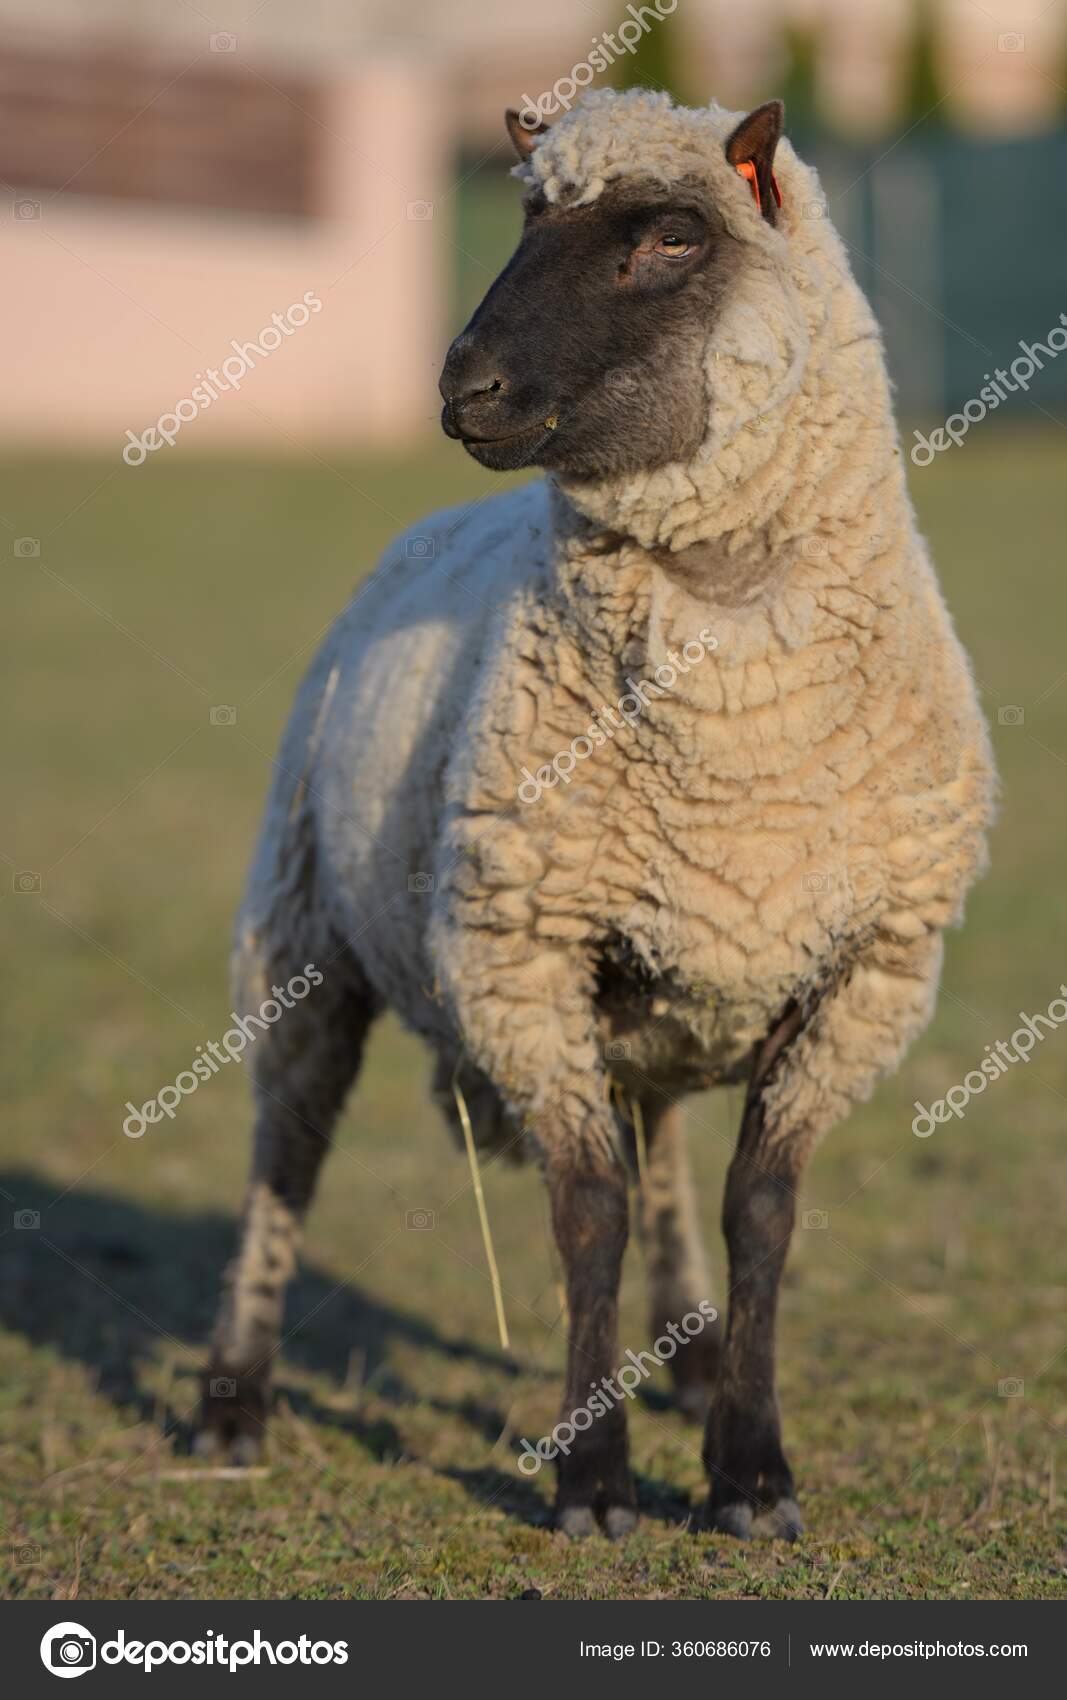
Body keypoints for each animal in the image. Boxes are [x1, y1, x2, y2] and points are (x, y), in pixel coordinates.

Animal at [197, 89, 995, 1541]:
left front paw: (746, 1469)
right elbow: (587, 1213)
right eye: (524, 216)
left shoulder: (869, 975)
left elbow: (757, 1211)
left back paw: (685, 1349)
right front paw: (591, 1480)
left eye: (672, 234)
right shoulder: (519, 954)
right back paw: (232, 1399)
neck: (740, 725)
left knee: (663, 1141)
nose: (464, 389)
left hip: (661, 992)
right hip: (300, 933)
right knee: (284, 1149)